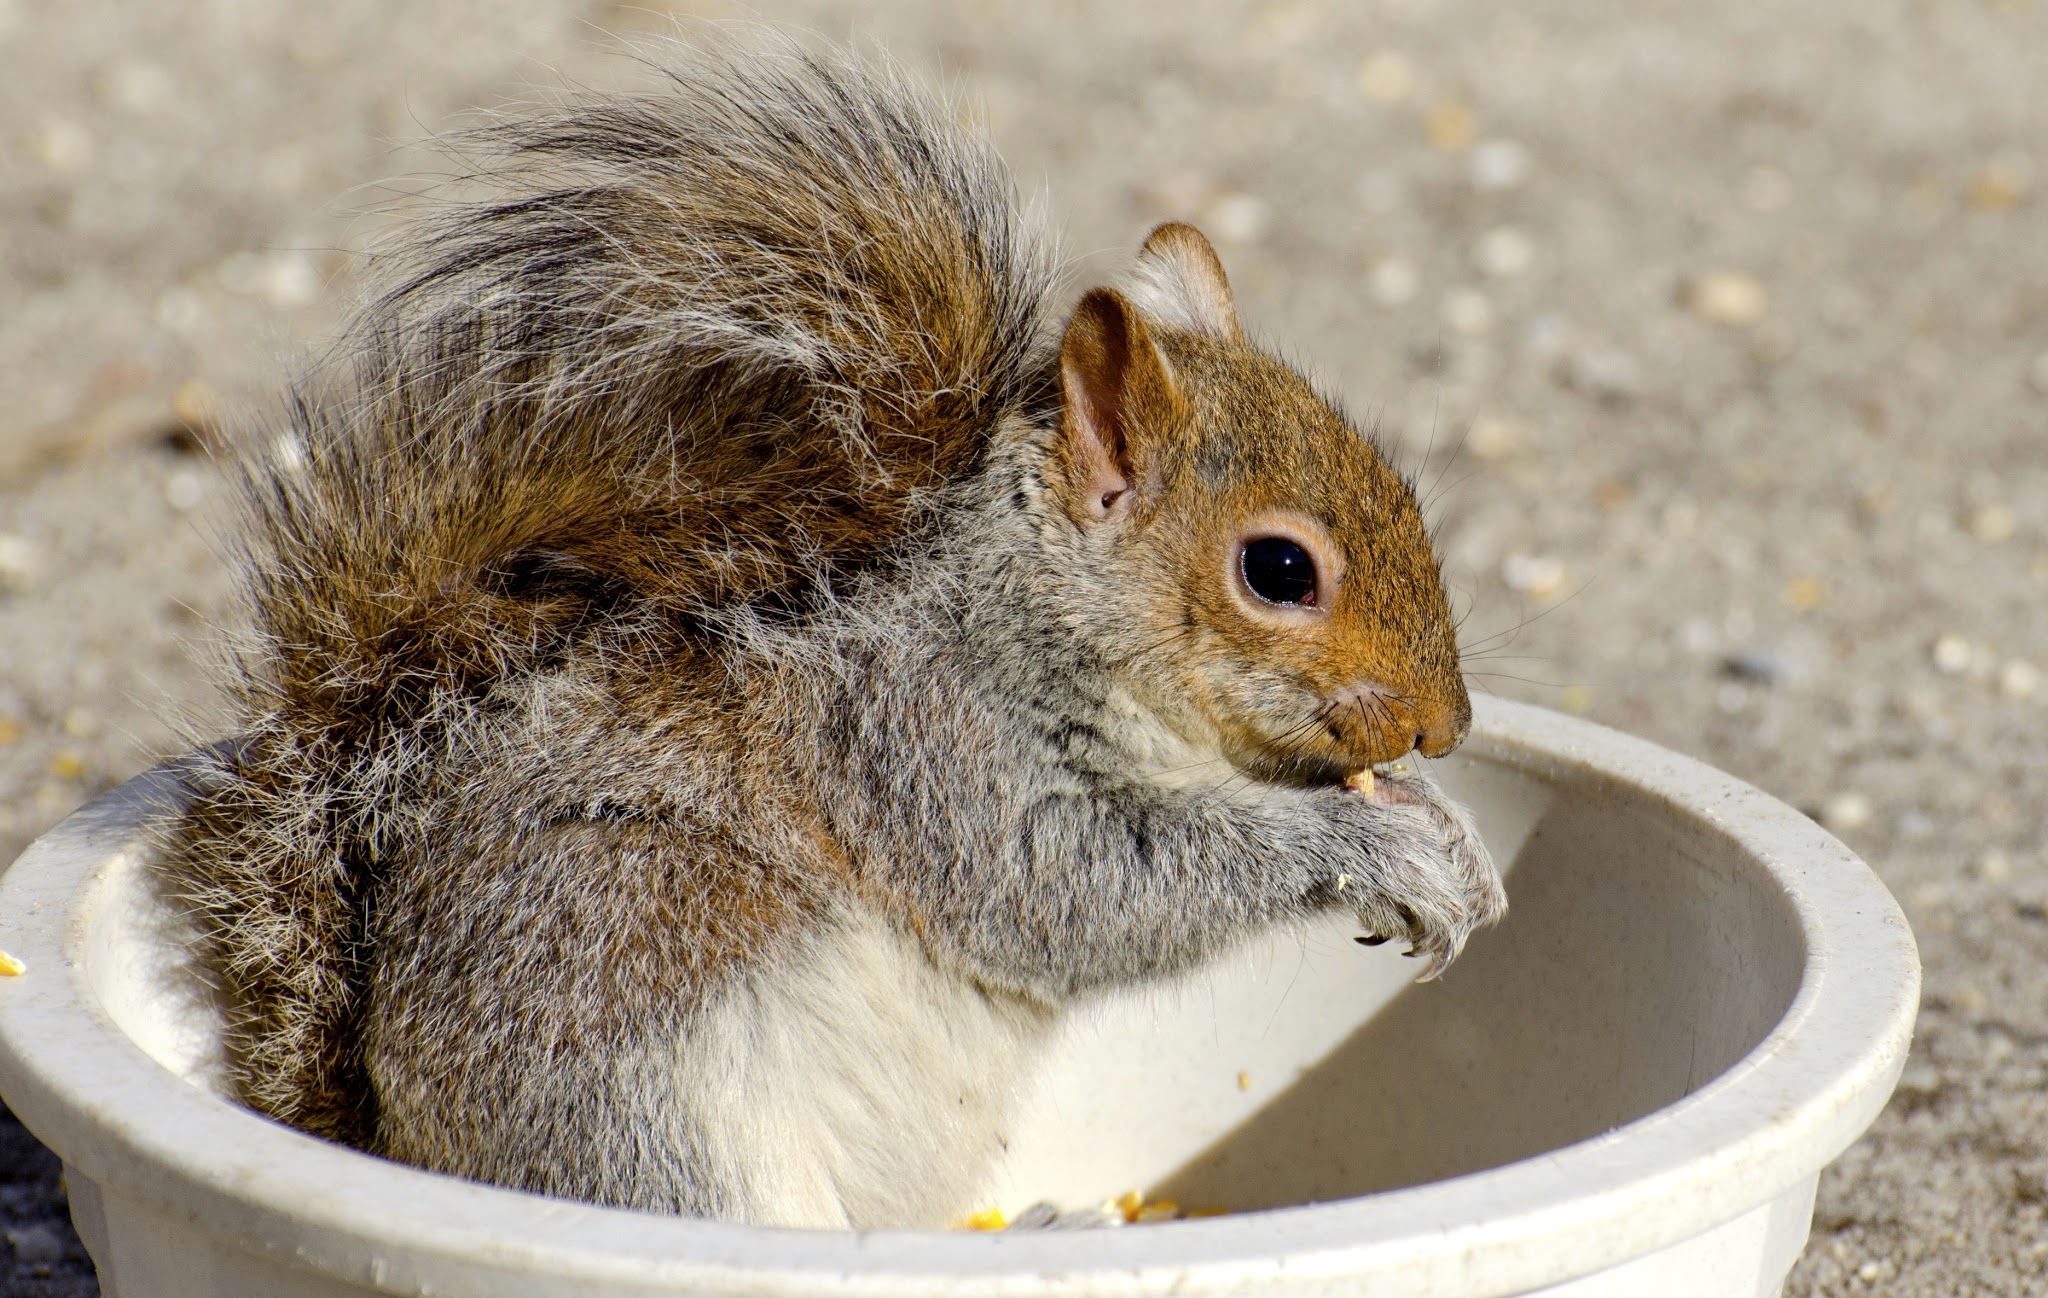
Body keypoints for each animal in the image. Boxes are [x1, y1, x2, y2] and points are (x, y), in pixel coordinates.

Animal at [161, 37, 1506, 1230]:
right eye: (1277, 568)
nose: (1443, 726)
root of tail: (400, 1139)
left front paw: (1452, 833)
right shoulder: (925, 743)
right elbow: (1073, 883)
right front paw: (1371, 844)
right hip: (634, 1043)